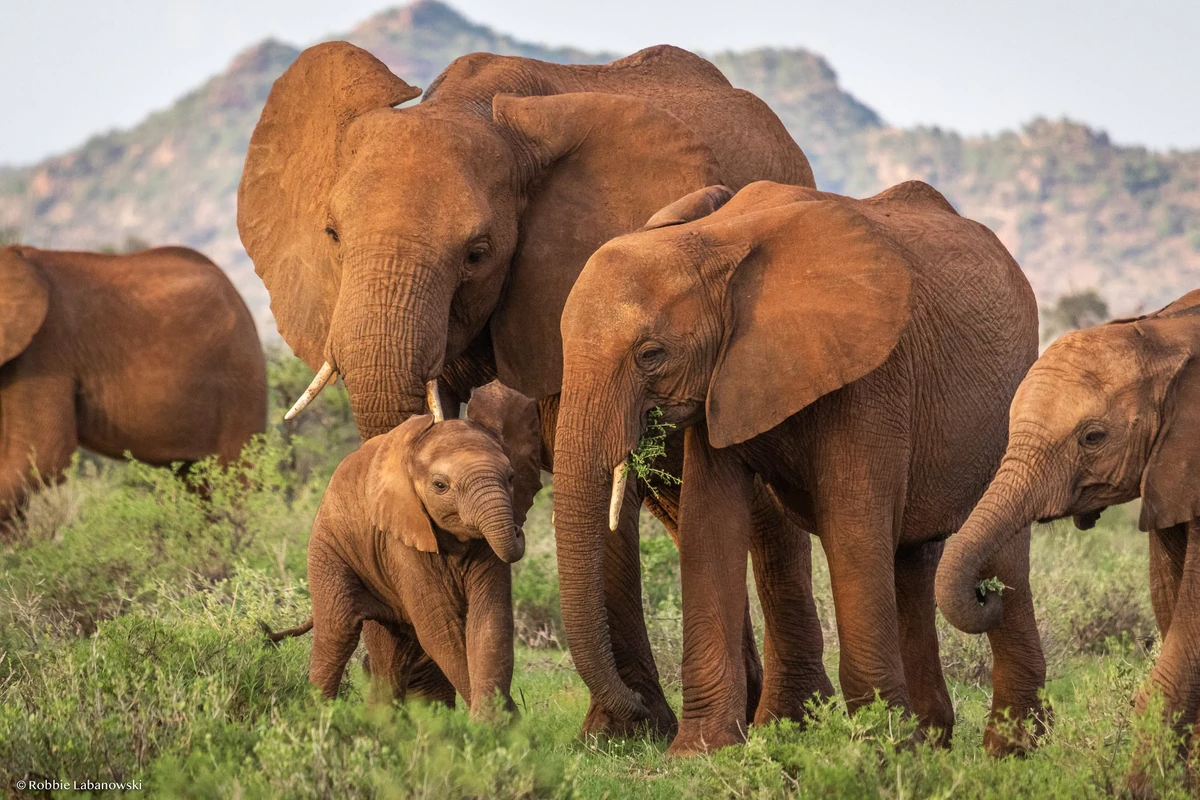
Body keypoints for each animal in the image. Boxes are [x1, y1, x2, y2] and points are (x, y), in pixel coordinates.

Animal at [265, 381, 543, 719]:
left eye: (512, 478)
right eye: (440, 486)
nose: (517, 529)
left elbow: (490, 621)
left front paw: (500, 724)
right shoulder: (400, 538)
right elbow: (438, 629)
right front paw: (500, 723)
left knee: (394, 651)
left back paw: (381, 722)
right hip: (328, 544)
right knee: (337, 630)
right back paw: (319, 717)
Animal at [551, 179, 1046, 755]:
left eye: (651, 354)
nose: (634, 710)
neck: (715, 240)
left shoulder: (871, 373)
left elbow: (853, 526)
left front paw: (877, 750)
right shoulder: (722, 382)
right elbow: (708, 527)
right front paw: (700, 752)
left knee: (1001, 562)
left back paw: (1012, 748)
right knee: (912, 563)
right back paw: (930, 740)